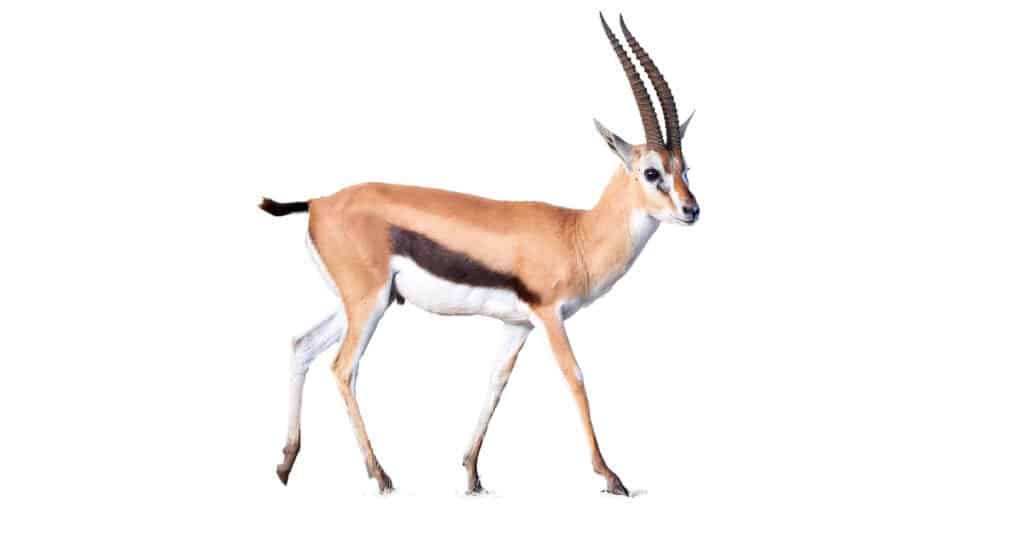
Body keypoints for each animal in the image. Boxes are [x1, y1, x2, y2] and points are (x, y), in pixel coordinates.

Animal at [260, 14, 699, 496]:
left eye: (685, 169)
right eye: (652, 172)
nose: (692, 210)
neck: (576, 233)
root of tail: (317, 203)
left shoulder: (516, 324)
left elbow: (495, 382)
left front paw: (472, 474)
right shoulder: (549, 316)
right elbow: (575, 376)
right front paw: (612, 477)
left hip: (359, 303)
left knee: (301, 346)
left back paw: (285, 467)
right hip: (368, 304)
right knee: (343, 368)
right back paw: (381, 476)